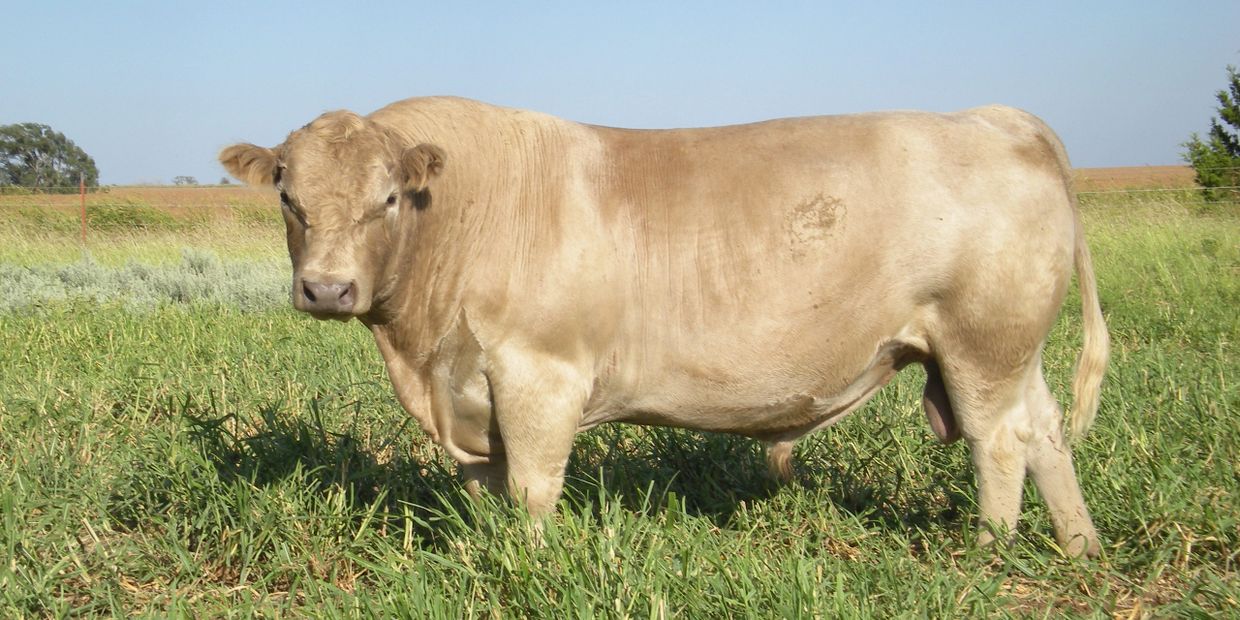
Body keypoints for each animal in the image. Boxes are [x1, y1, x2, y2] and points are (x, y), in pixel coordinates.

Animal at [220, 97, 1109, 557]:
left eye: (388, 198)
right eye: (289, 198)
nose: (326, 288)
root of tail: (992, 117)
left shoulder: (541, 373)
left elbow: (532, 487)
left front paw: (529, 561)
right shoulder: (466, 391)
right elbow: (481, 486)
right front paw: (484, 547)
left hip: (980, 343)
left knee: (998, 443)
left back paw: (990, 551)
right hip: (1010, 351)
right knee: (1043, 431)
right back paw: (1077, 545)